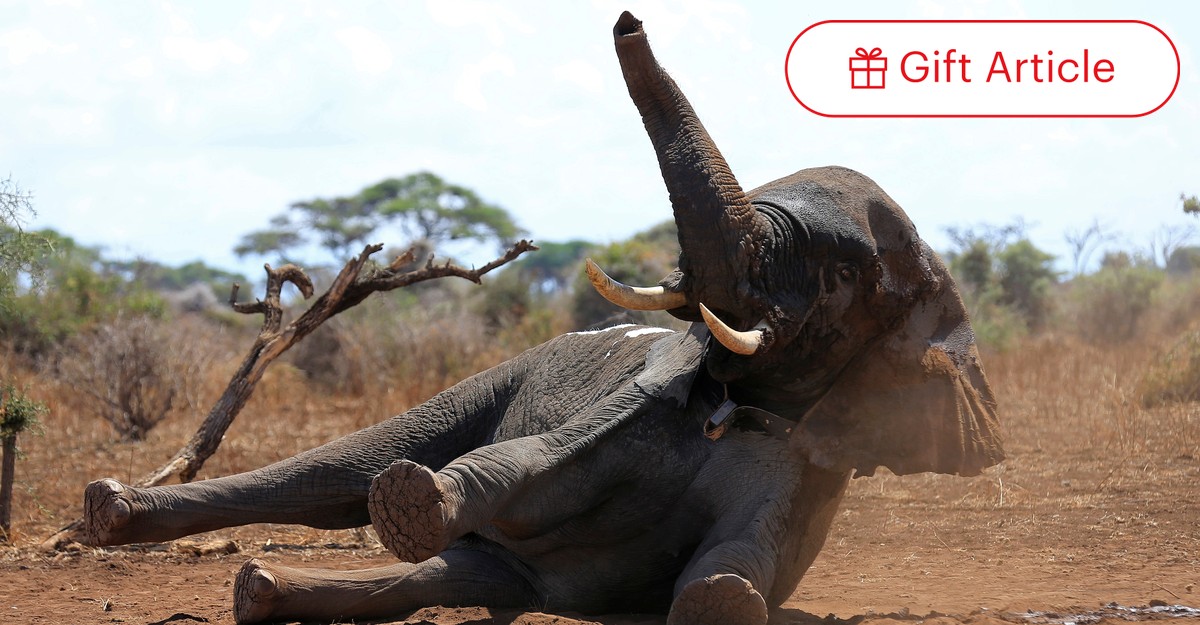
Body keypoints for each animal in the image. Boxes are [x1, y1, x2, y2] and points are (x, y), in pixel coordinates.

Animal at [80, 12, 1003, 625]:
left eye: (843, 272)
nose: (628, 18)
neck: (740, 398)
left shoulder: (806, 458)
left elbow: (730, 576)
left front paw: (719, 592)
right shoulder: (645, 391)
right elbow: (524, 463)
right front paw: (413, 498)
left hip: (502, 575)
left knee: (442, 579)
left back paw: (261, 588)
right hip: (504, 372)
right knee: (337, 473)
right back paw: (111, 509)